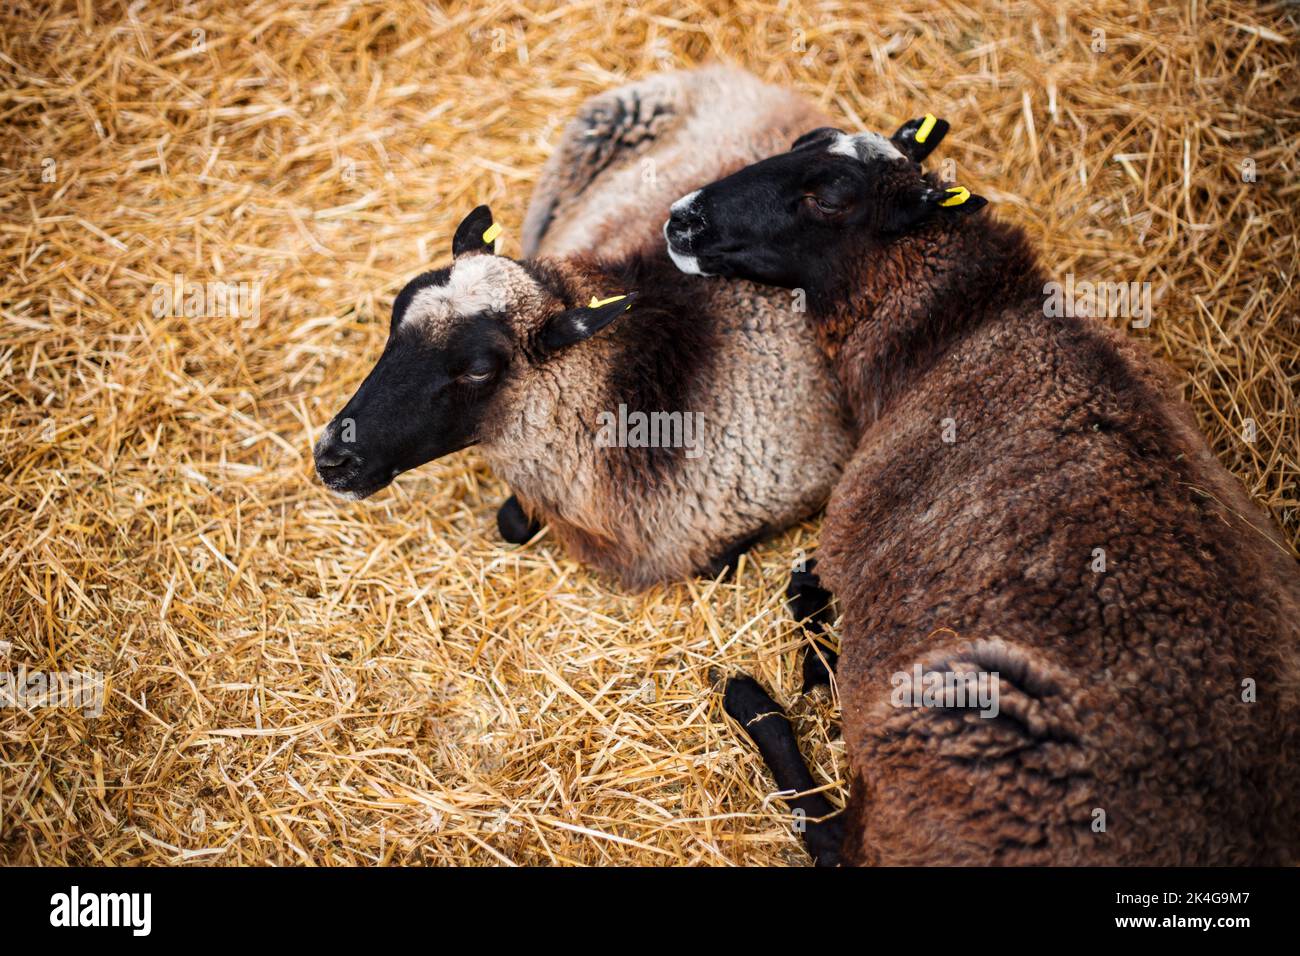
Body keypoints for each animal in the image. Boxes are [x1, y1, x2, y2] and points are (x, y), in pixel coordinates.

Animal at [668, 120, 1300, 864]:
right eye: (802, 143)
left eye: (828, 198)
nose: (682, 220)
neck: (957, 327)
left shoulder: (846, 529)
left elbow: (812, 597)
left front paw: (810, 657)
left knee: (833, 841)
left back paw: (749, 699)